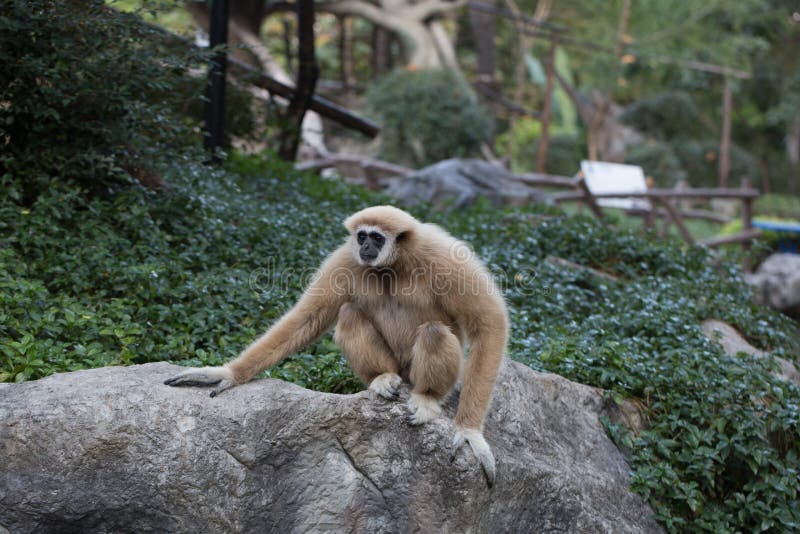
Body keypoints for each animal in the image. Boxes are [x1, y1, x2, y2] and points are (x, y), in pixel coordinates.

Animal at [164, 205, 509, 486]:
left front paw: (469, 432)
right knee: (349, 313)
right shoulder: (345, 257)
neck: (396, 263)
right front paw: (225, 373)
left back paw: (427, 398)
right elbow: (308, 318)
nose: (366, 246)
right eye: (362, 236)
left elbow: (489, 324)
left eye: (377, 238)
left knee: (435, 332)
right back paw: (381, 379)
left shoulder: (445, 258)